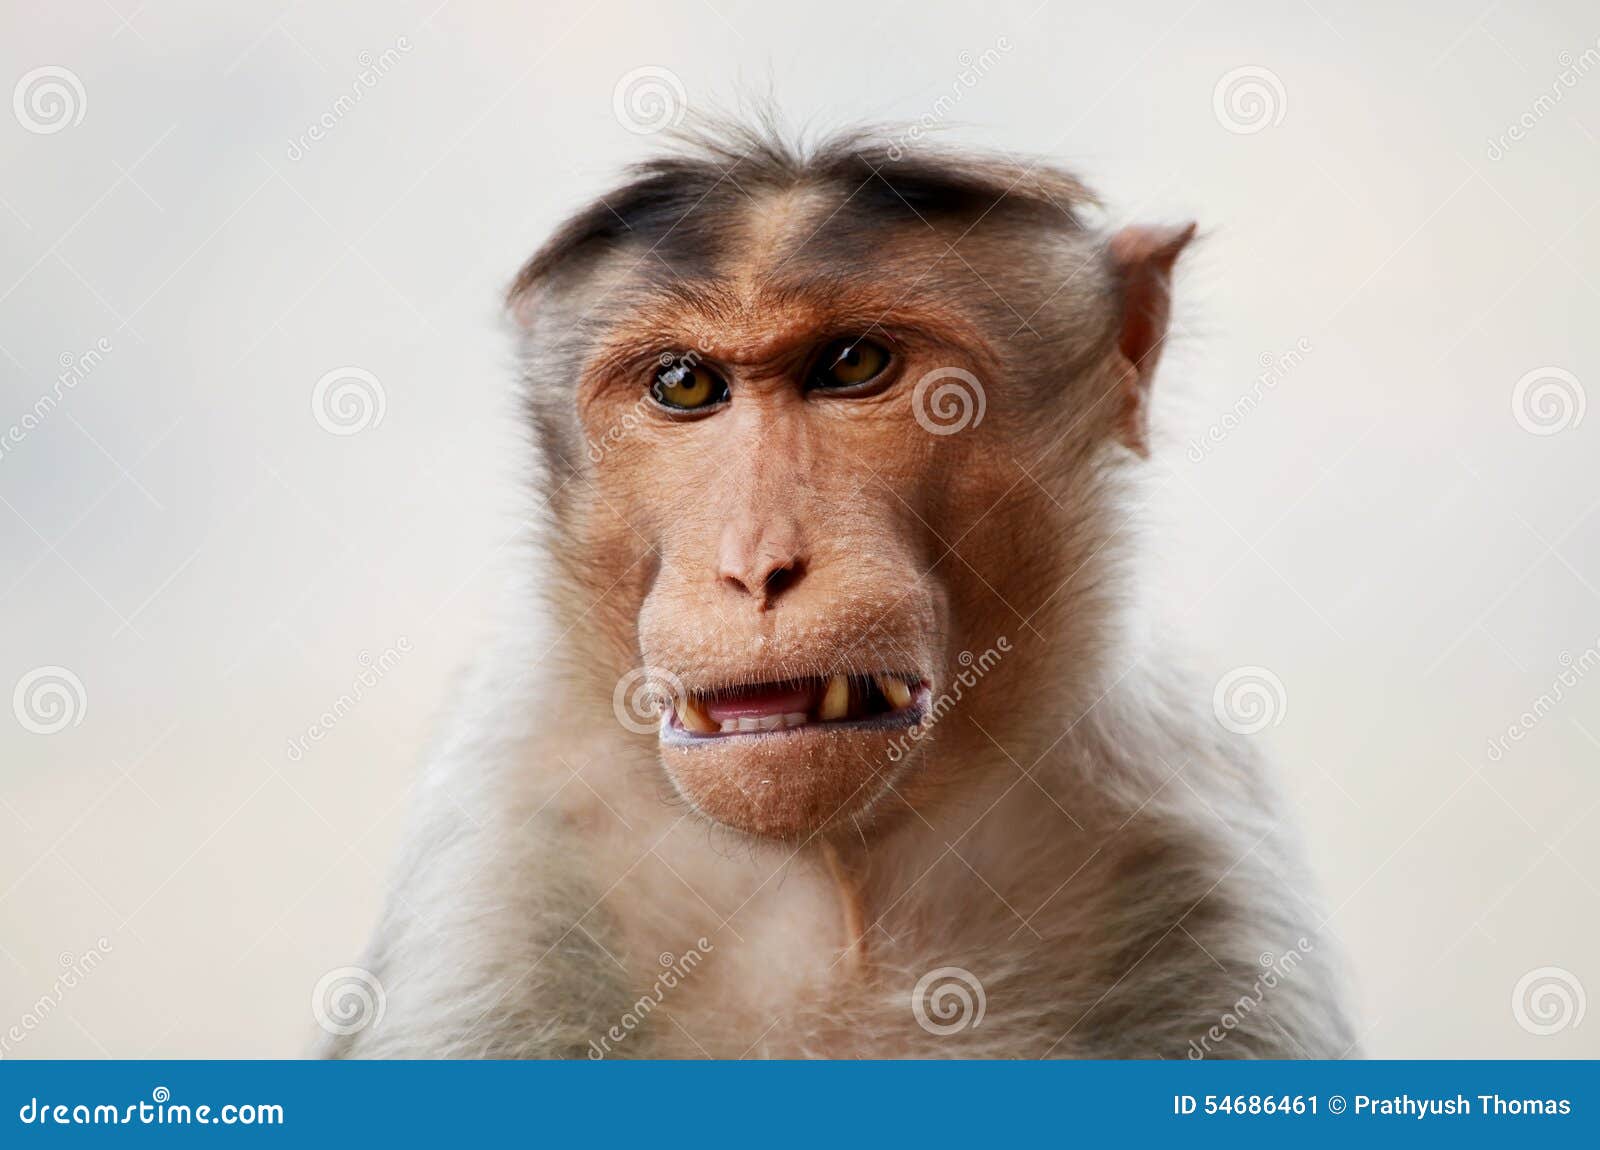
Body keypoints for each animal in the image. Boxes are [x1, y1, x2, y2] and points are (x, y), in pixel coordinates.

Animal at [320, 117, 1357, 1059]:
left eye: (854, 365)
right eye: (684, 384)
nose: (755, 564)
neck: (839, 882)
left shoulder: (1199, 871)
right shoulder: (500, 881)